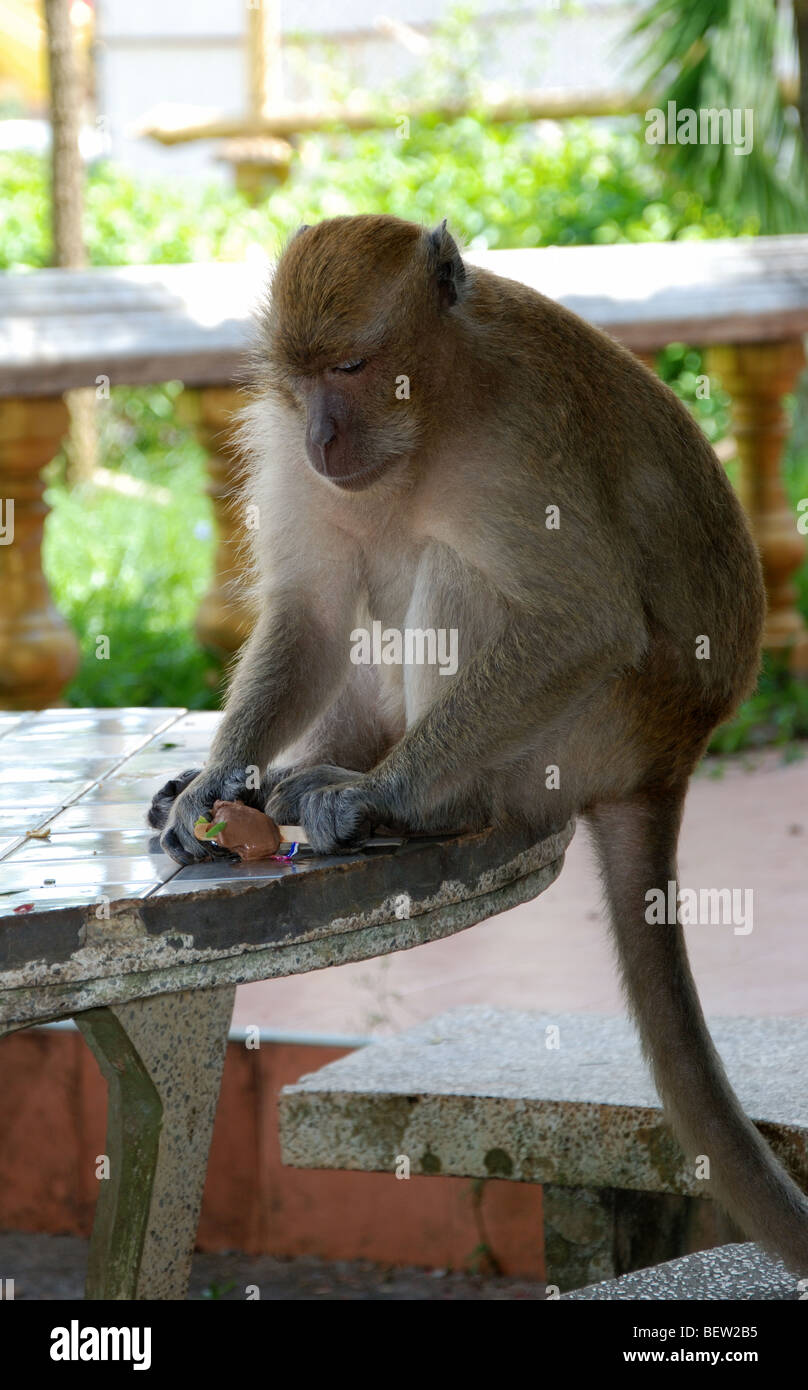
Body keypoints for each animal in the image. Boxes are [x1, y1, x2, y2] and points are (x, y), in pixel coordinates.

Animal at [149, 213, 808, 1273]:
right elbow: (313, 610)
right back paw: (294, 770)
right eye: (301, 378)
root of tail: (673, 758)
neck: (435, 408)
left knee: (456, 569)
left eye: (353, 365)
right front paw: (219, 783)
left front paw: (375, 796)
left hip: (595, 729)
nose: (322, 434)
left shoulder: (519, 444)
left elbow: (580, 620)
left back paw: (424, 801)